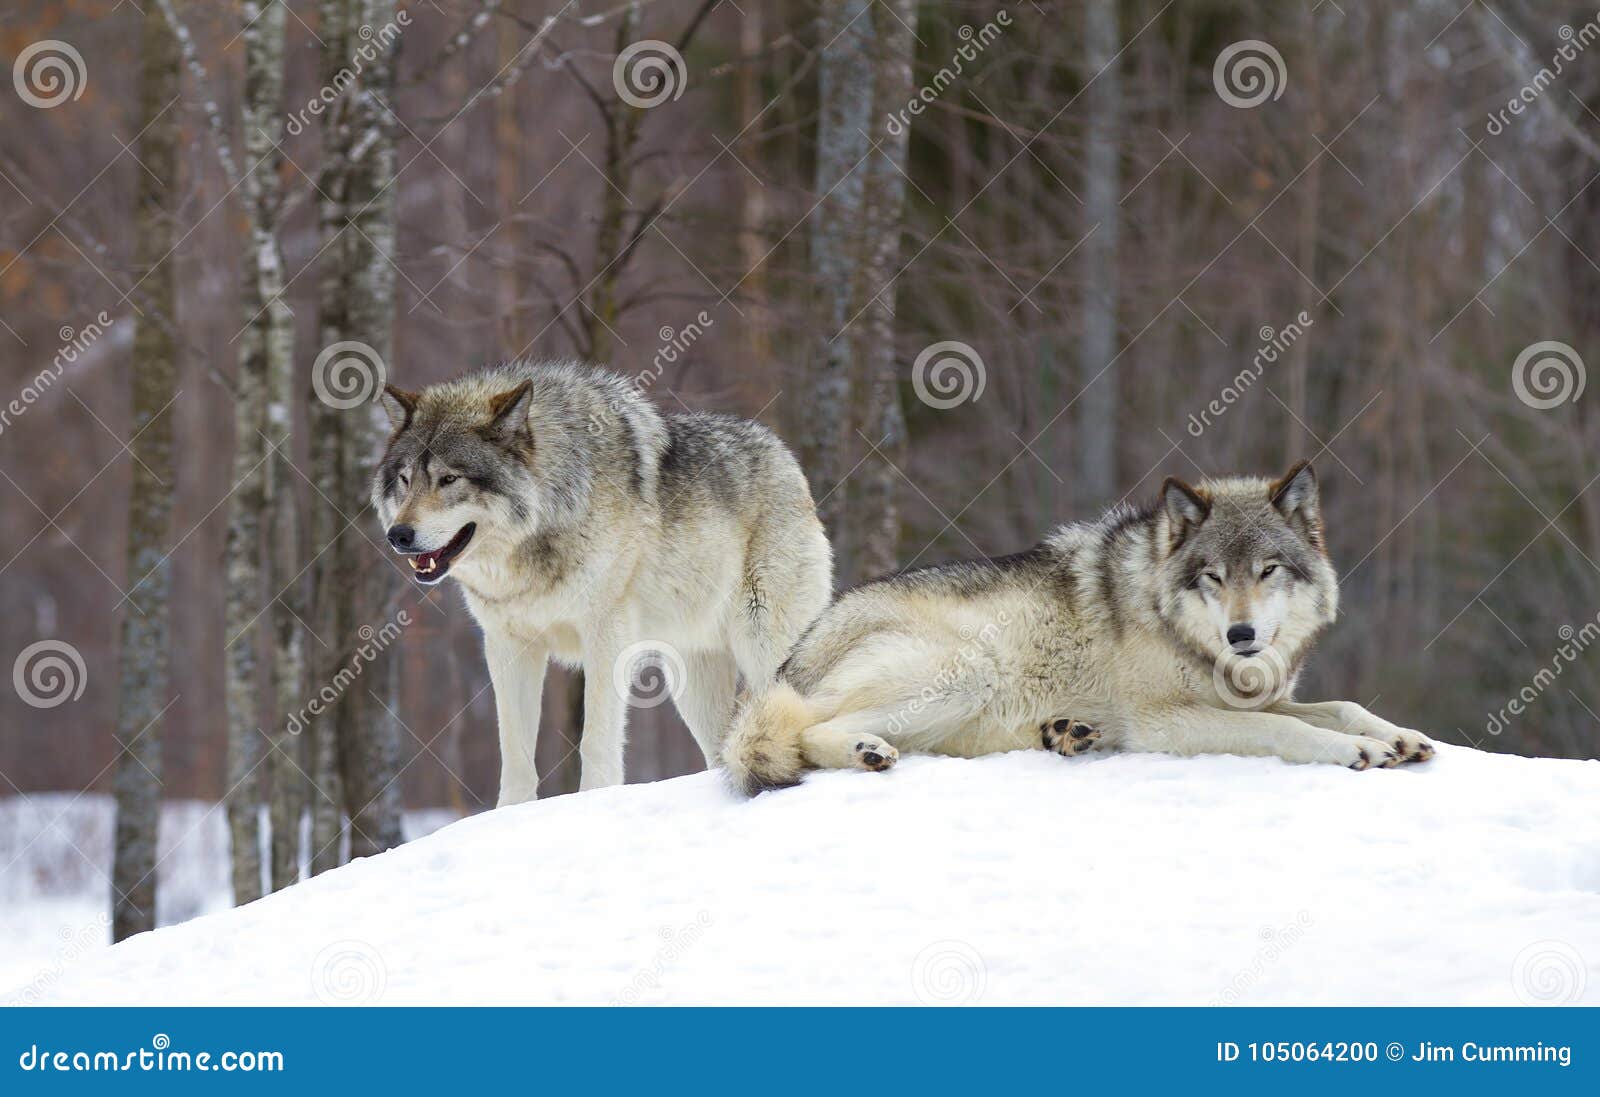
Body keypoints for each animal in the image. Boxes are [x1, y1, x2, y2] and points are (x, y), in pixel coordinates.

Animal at [374, 360, 832, 804]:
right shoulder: (507, 644)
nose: (398, 536)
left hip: (764, 647)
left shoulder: (607, 634)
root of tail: (786, 457)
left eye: (449, 479)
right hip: (690, 681)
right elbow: (515, 753)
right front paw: (510, 814)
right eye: (405, 479)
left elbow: (595, 739)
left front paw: (593, 800)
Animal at [723, 461, 1436, 795]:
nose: (1242, 636)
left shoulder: (1262, 695)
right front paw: (1357, 752)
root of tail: (797, 652)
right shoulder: (1166, 722)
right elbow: (1287, 730)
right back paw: (866, 751)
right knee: (808, 734)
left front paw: (1400, 737)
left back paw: (1065, 734)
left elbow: (1340, 706)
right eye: (1212, 576)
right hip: (967, 670)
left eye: (1267, 571)